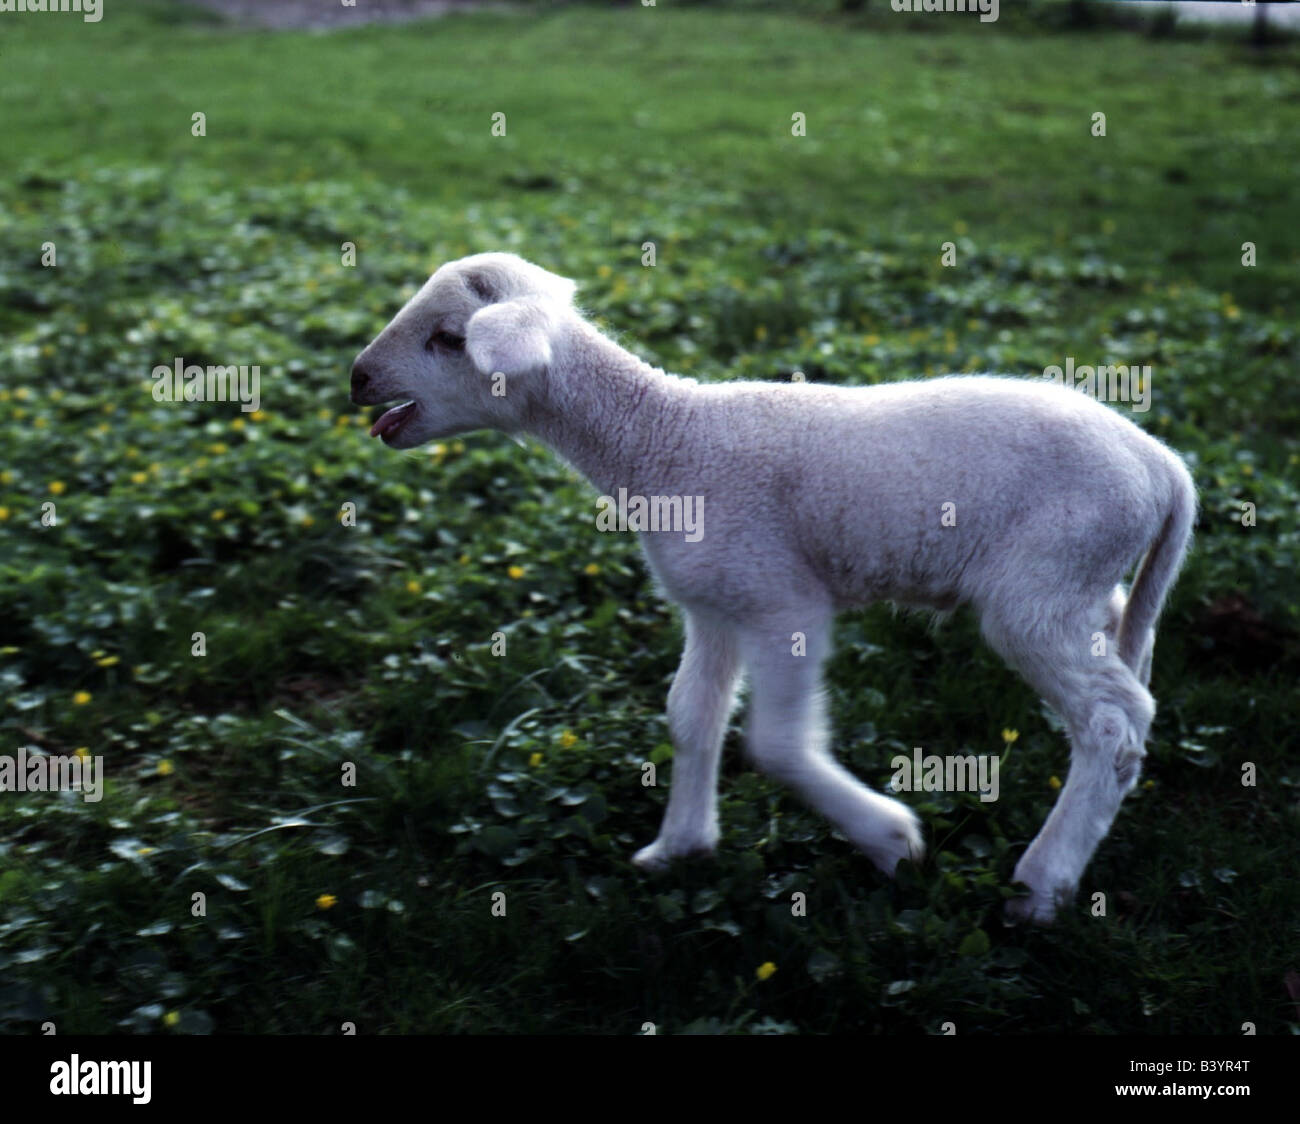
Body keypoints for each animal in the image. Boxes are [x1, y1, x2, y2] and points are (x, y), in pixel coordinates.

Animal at [350, 251, 1196, 924]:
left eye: (447, 338)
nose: (358, 378)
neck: (661, 440)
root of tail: (1161, 465)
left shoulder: (782, 599)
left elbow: (777, 745)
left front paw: (892, 842)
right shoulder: (715, 604)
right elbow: (691, 717)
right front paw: (680, 846)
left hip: (1043, 587)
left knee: (1114, 722)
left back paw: (1041, 887)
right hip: (1079, 583)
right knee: (1123, 656)